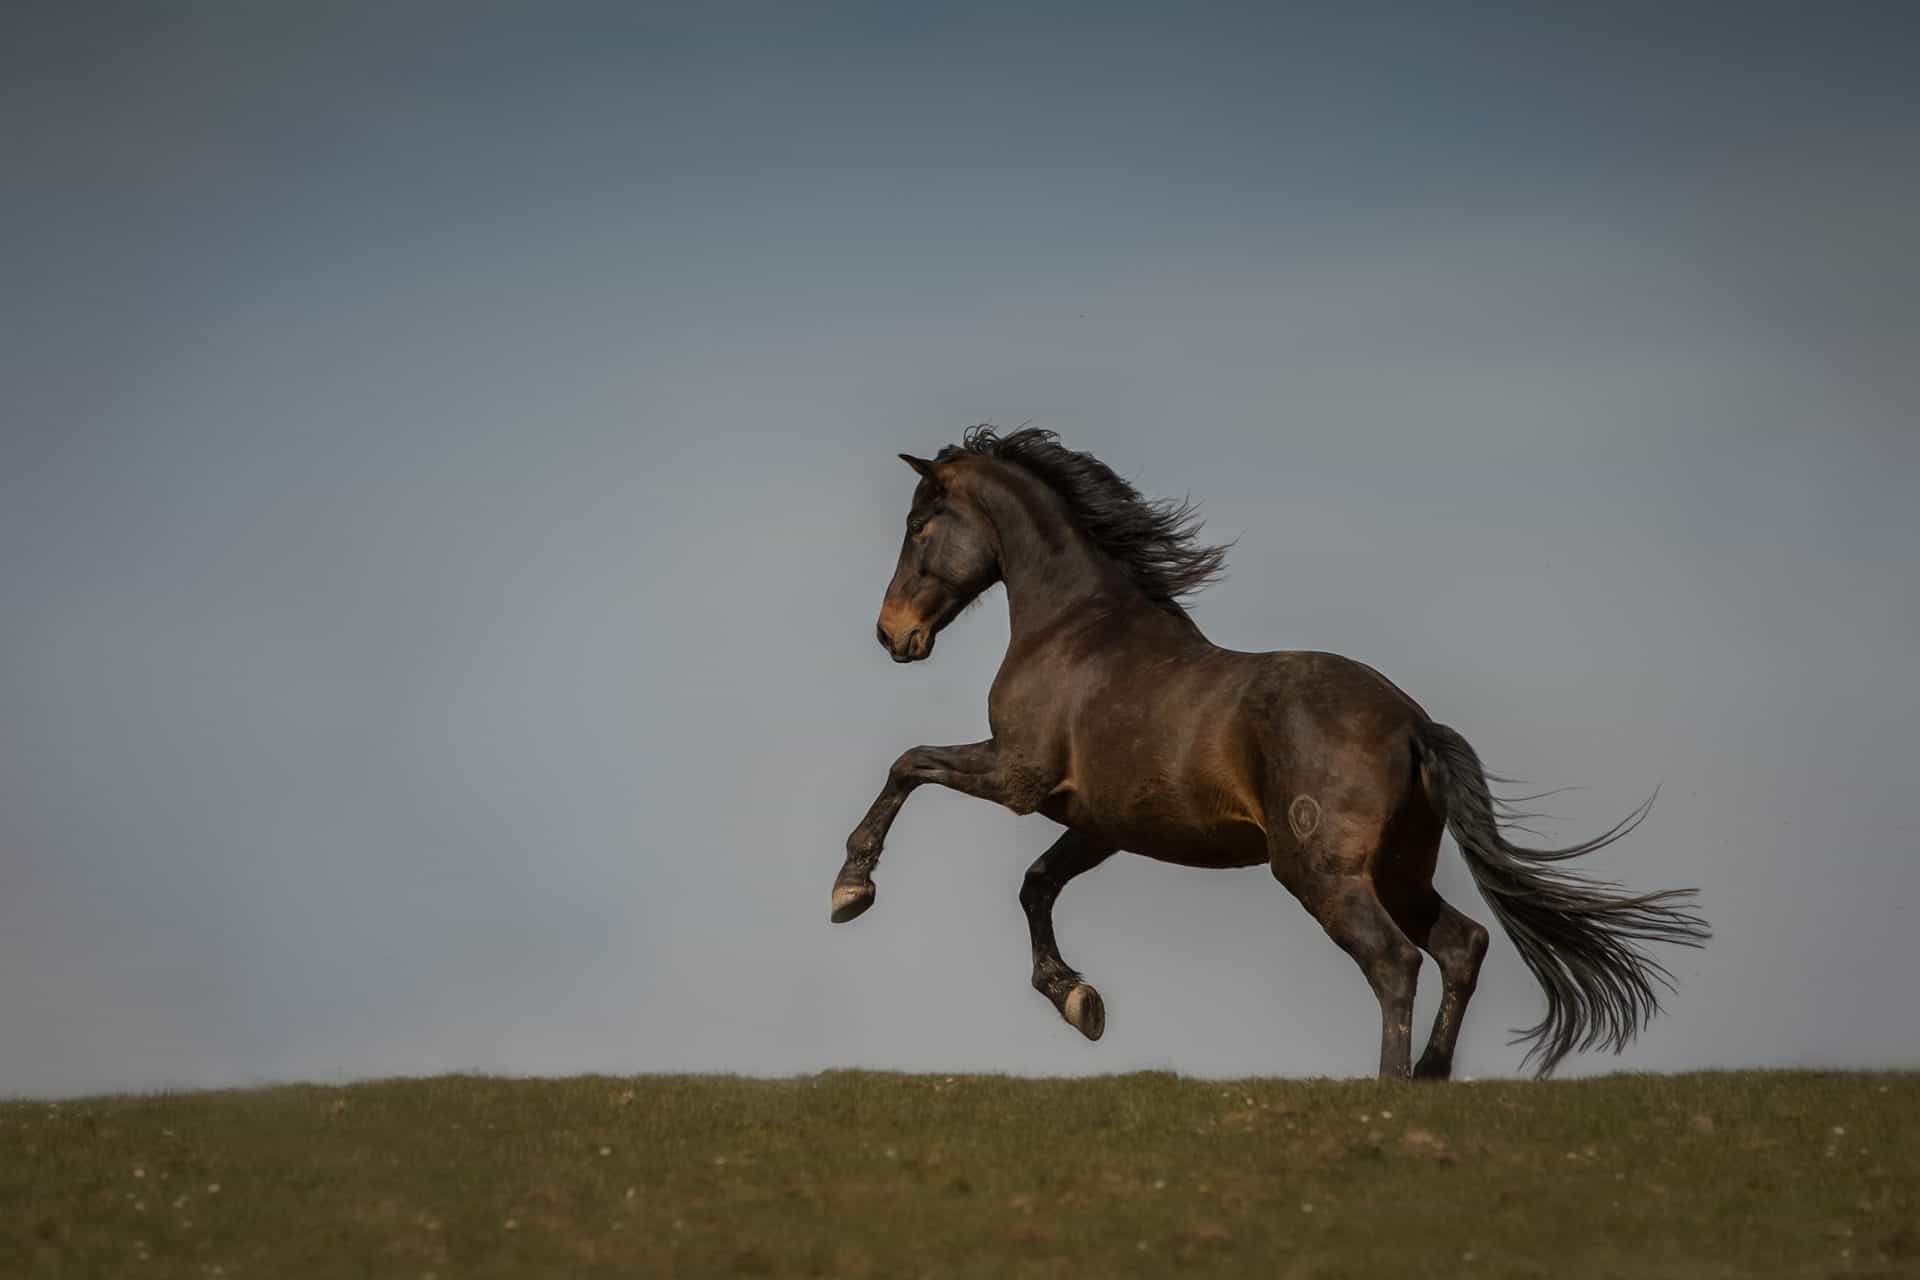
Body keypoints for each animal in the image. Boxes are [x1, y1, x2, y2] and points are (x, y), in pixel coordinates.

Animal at [831, 426, 1709, 1078]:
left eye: (918, 526)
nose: (890, 633)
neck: (1074, 632)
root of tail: (1411, 722)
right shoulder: (1103, 825)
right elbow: (1035, 885)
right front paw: (1078, 1001)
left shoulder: (1018, 776)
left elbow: (909, 764)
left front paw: (851, 889)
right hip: (1398, 870)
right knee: (1464, 945)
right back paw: (1431, 1077)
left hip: (1320, 873)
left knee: (1396, 962)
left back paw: (1389, 1089)